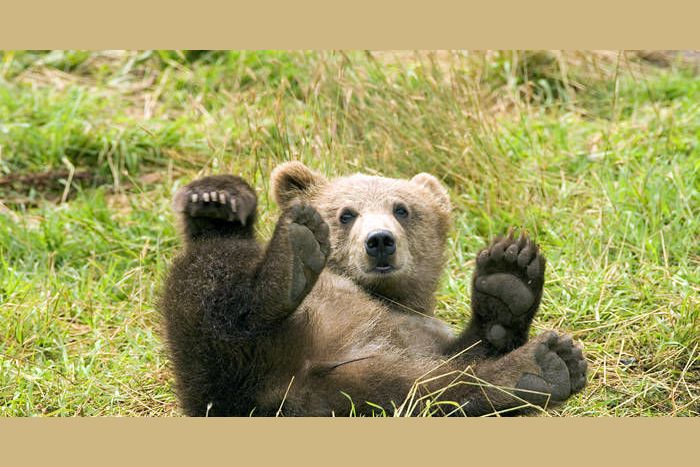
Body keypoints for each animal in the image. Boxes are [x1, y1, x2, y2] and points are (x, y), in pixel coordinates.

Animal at [159, 162, 587, 416]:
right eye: (346, 213)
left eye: (402, 209)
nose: (380, 241)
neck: (383, 294)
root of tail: (277, 387)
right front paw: (215, 197)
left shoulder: (416, 332)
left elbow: (464, 352)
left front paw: (508, 279)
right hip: (213, 359)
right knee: (212, 280)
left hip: (350, 388)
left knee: (427, 390)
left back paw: (542, 366)